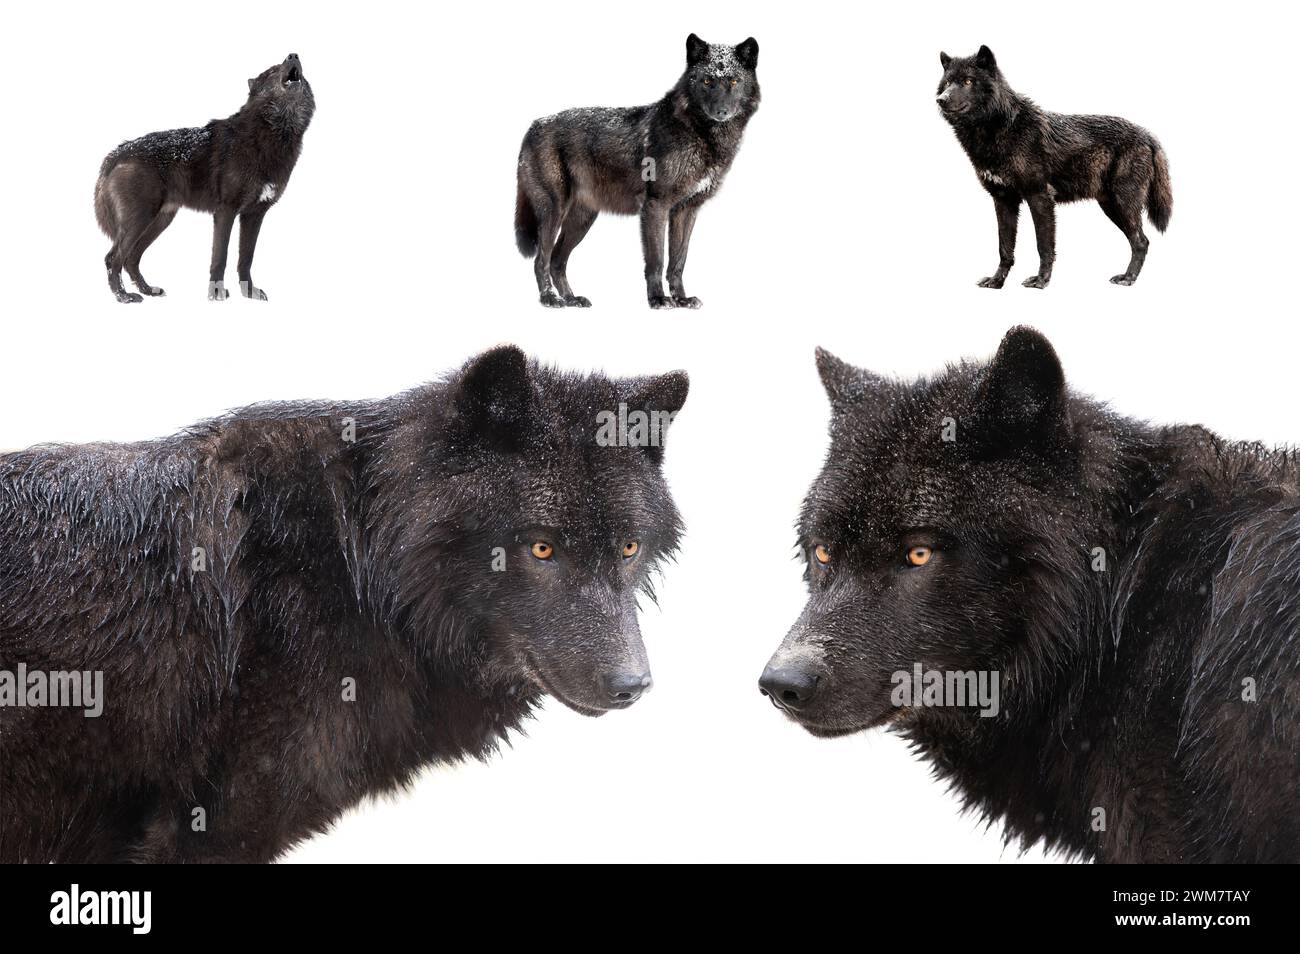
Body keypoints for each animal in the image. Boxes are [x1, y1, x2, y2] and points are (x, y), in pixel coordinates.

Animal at [94, 53, 315, 304]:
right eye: (272, 71)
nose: (293, 55)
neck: (271, 134)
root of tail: (117, 153)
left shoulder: (254, 215)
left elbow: (246, 258)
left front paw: (249, 293)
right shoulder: (226, 211)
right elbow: (220, 257)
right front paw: (217, 293)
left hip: (159, 221)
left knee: (131, 258)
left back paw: (147, 290)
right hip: (140, 219)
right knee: (113, 258)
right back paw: (124, 296)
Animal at [515, 34, 759, 309]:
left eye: (734, 81)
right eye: (707, 81)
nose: (721, 112)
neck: (698, 133)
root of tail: (534, 126)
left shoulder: (686, 210)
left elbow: (678, 261)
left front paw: (681, 299)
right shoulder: (655, 206)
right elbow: (657, 260)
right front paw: (658, 299)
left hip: (582, 219)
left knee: (557, 261)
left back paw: (571, 299)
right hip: (554, 212)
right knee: (541, 259)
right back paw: (549, 298)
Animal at [936, 46, 1172, 288]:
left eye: (968, 81)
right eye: (948, 83)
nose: (941, 99)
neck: (1000, 128)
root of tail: (1148, 135)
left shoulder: (1040, 197)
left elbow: (1044, 245)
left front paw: (1041, 280)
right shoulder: (1003, 200)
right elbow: (1005, 248)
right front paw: (997, 281)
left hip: (1123, 204)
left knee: (1141, 241)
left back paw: (1128, 278)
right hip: (1111, 206)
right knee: (1140, 241)